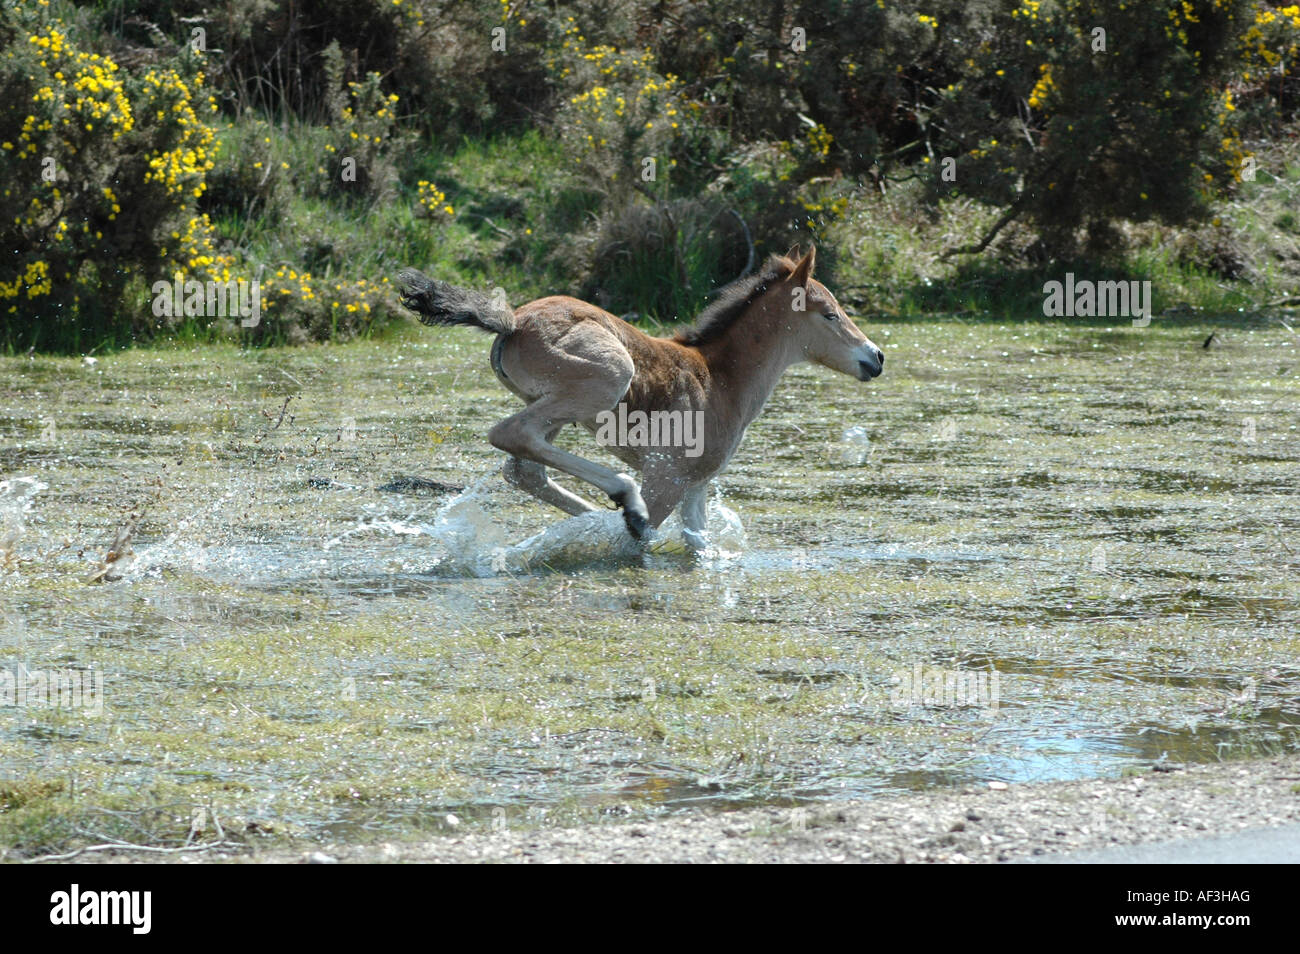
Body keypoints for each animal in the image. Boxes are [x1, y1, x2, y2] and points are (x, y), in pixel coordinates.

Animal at [396, 246, 883, 547]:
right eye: (830, 314)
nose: (875, 357)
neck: (721, 378)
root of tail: (512, 321)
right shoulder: (667, 477)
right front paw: (633, 523)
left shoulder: (695, 489)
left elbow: (697, 548)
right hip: (608, 379)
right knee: (511, 436)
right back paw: (629, 505)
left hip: (558, 403)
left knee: (522, 467)